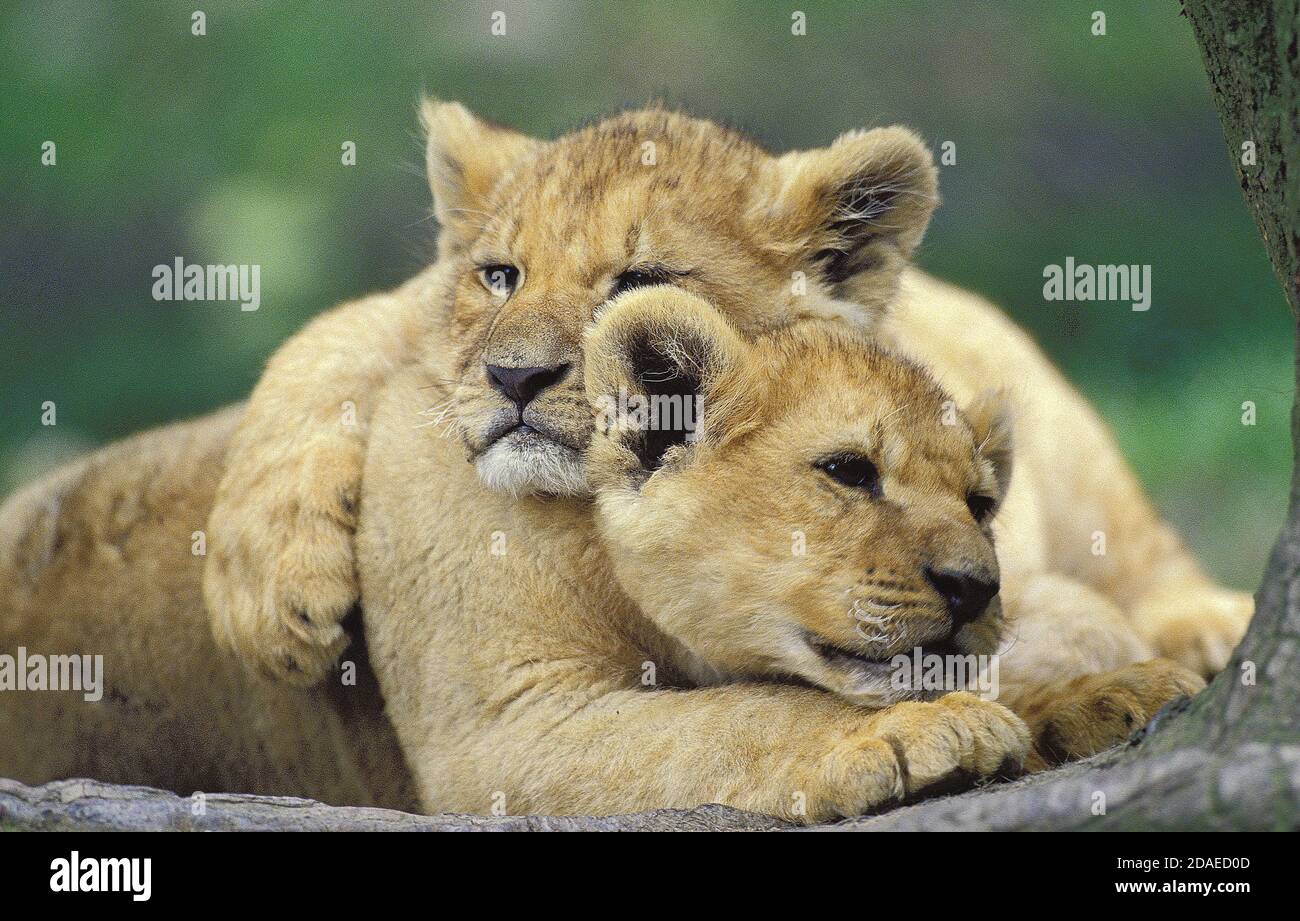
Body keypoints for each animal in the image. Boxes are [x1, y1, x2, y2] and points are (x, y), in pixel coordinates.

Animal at [201, 100, 1253, 695]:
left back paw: (1210, 621)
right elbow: (331, 334)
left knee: (1143, 547)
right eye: (499, 277)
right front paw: (268, 593)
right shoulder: (412, 321)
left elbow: (1043, 621)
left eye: (636, 280)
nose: (514, 377)